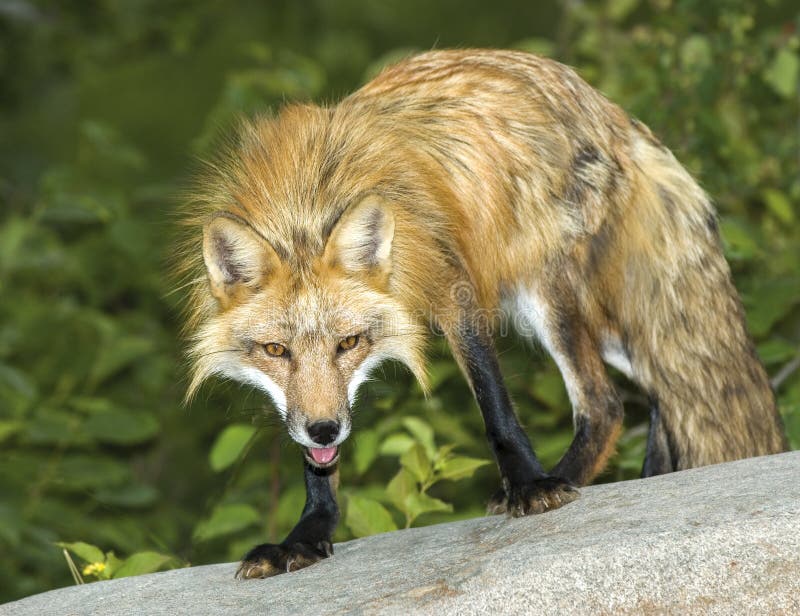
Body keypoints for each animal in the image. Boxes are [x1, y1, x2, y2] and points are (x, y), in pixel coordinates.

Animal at [180, 49, 788, 579]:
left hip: (546, 293)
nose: (325, 427)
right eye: (275, 350)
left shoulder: (454, 288)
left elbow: (495, 406)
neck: (306, 205)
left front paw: (529, 484)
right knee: (664, 384)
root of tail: (612, 112)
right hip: (599, 320)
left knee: (608, 403)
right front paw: (306, 536)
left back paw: (562, 477)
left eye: (349, 343)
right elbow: (317, 467)